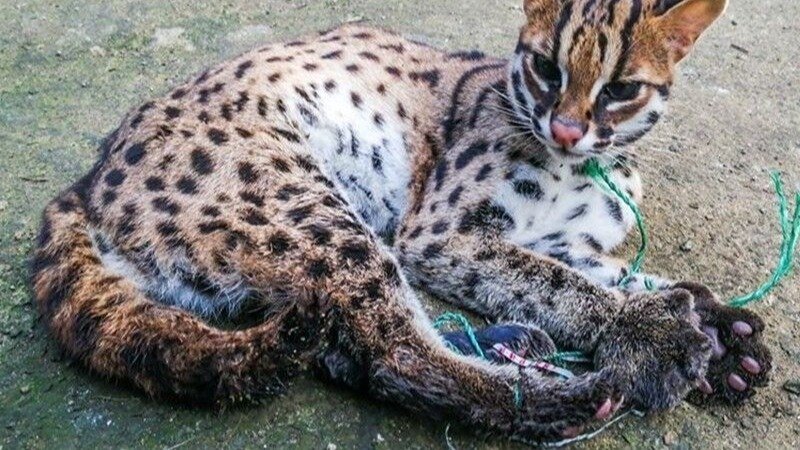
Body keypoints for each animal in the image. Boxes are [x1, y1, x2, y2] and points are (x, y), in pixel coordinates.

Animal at [30, 0, 772, 442]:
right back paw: (565, 398)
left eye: (620, 89)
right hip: (312, 208)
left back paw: (517, 346)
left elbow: (613, 274)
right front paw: (649, 334)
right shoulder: (441, 234)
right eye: (545, 68)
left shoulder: (571, 240)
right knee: (394, 356)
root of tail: (85, 180)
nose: (564, 129)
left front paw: (718, 327)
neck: (590, 163)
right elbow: (554, 283)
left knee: (350, 349)